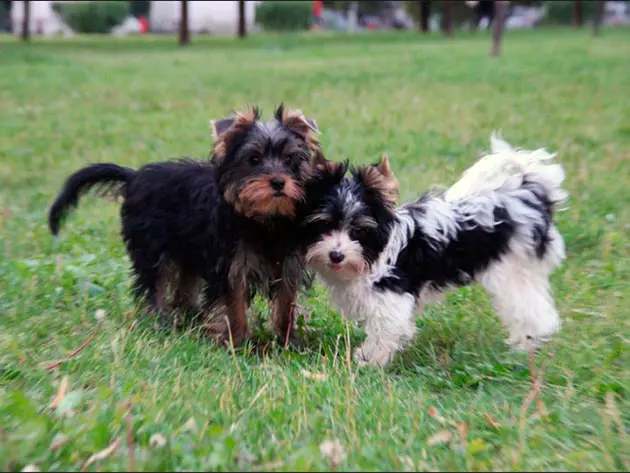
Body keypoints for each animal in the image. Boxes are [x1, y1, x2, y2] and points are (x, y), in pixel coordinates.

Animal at [304, 135, 572, 366]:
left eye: (358, 230)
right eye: (324, 224)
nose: (336, 255)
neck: (374, 252)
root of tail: (528, 194)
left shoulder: (391, 297)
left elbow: (385, 329)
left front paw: (370, 360)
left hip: (512, 272)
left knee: (534, 312)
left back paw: (525, 346)